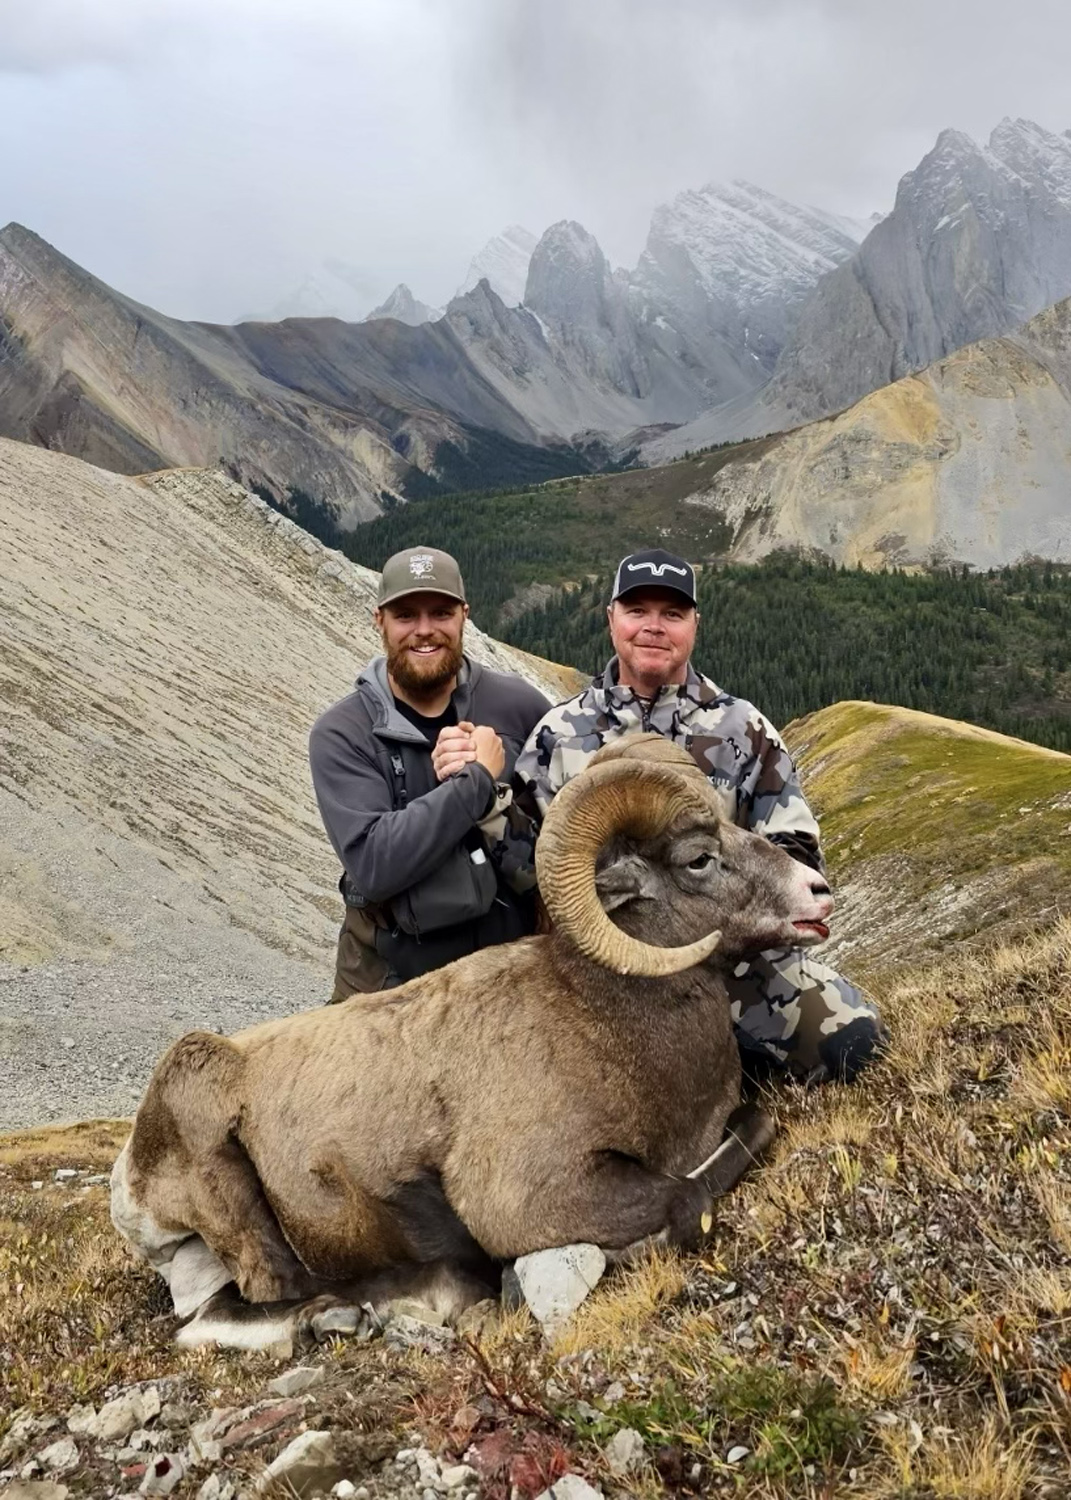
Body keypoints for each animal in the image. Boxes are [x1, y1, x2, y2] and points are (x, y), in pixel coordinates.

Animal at [111, 733, 834, 1348]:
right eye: (699, 859)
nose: (817, 893)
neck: (610, 1020)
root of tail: (128, 1183)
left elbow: (755, 1126)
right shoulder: (529, 1195)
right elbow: (686, 1199)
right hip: (229, 1181)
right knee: (245, 1301)